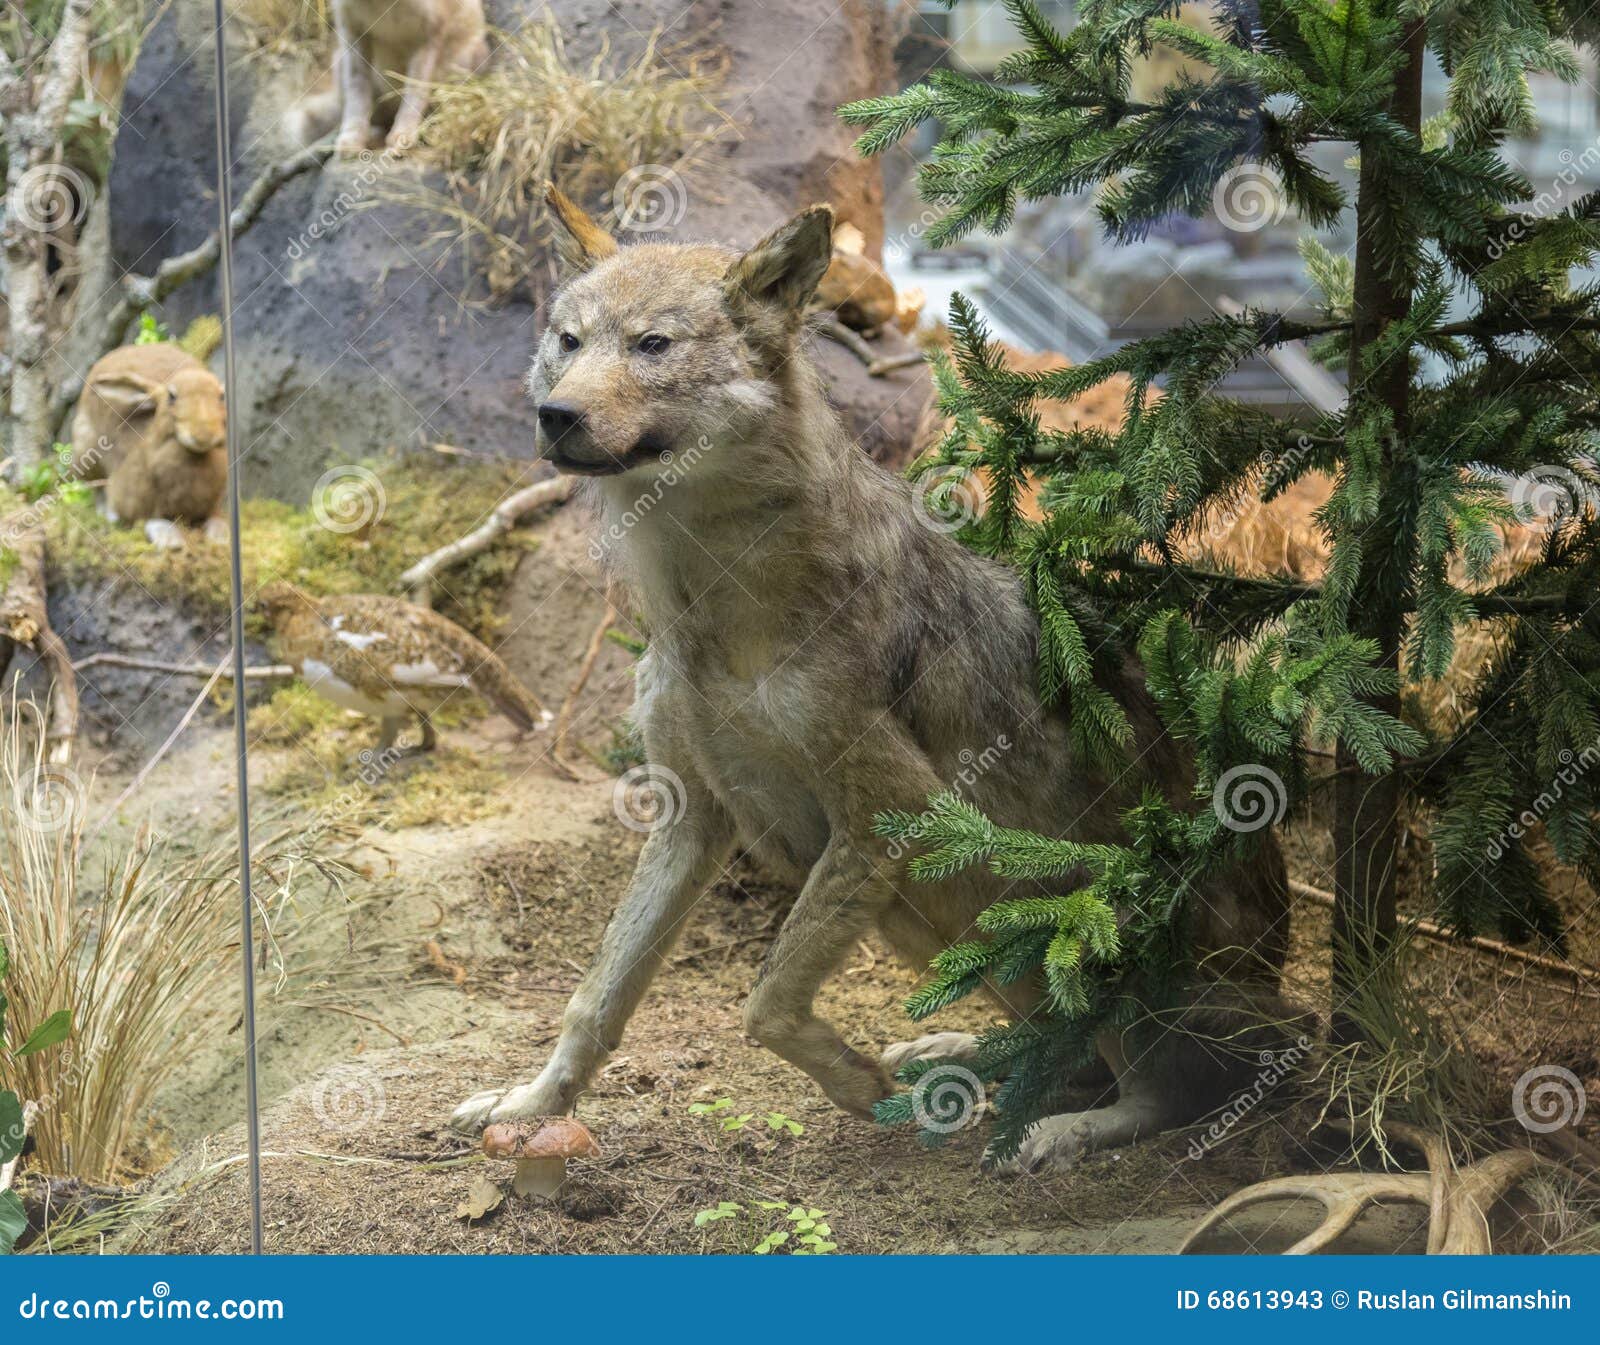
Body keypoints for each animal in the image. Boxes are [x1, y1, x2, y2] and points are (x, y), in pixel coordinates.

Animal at [286, 0, 488, 156]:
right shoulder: (352, 32)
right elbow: (357, 95)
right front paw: (353, 138)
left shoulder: (428, 36)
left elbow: (414, 95)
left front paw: (403, 136)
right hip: (341, 62)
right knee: (378, 118)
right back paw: (372, 135)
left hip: (462, 65)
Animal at [450, 188, 1292, 1171]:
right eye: (569, 340)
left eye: (653, 345)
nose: (555, 414)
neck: (709, 599)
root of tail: (1281, 980)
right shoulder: (692, 814)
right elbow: (596, 998)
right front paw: (526, 1103)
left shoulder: (894, 808)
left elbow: (764, 1003)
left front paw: (854, 1083)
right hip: (943, 922)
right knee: (1070, 1052)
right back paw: (964, 1053)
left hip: (1058, 912)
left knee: (1161, 1090)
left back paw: (1058, 1128)